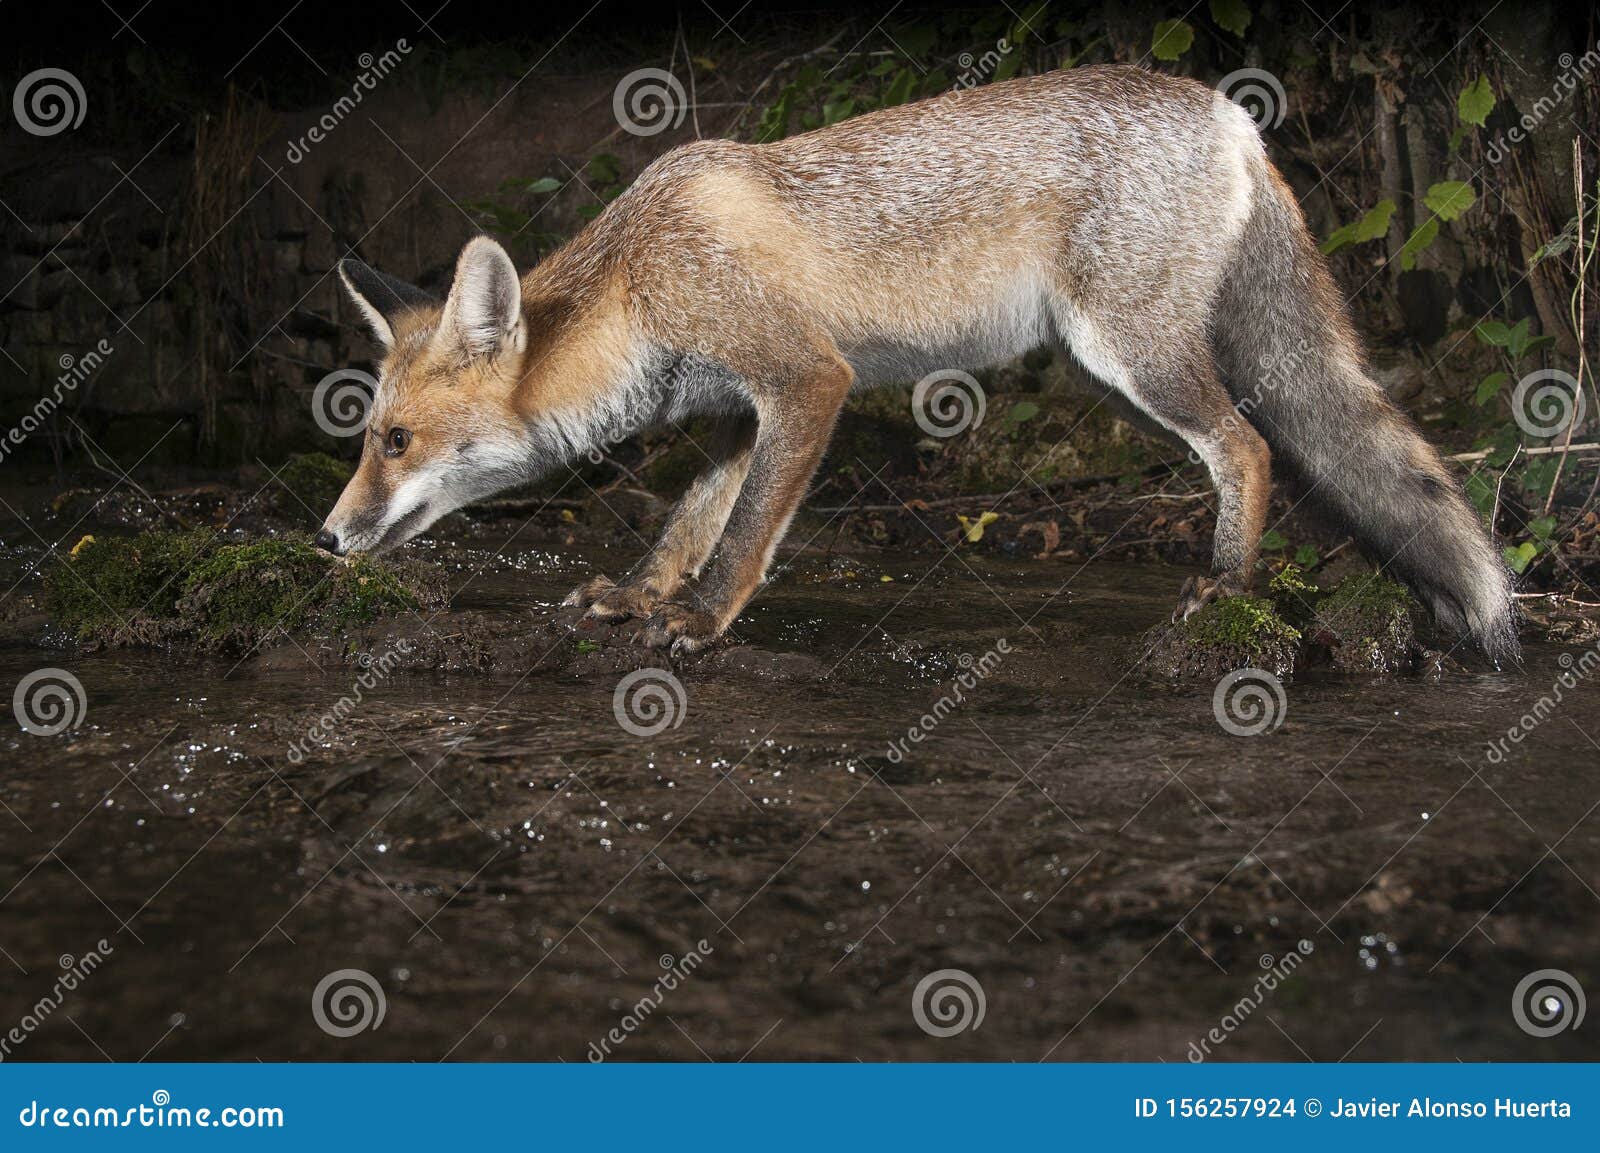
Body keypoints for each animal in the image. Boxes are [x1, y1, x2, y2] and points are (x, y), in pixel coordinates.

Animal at [320, 64, 1519, 664]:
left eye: (394, 441)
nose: (326, 537)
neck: (637, 283)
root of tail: (1231, 113)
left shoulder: (807, 380)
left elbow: (745, 537)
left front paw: (699, 621)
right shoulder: (738, 409)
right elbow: (691, 518)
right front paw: (639, 594)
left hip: (1135, 356)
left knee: (1250, 446)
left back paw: (1224, 583)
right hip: (1116, 378)